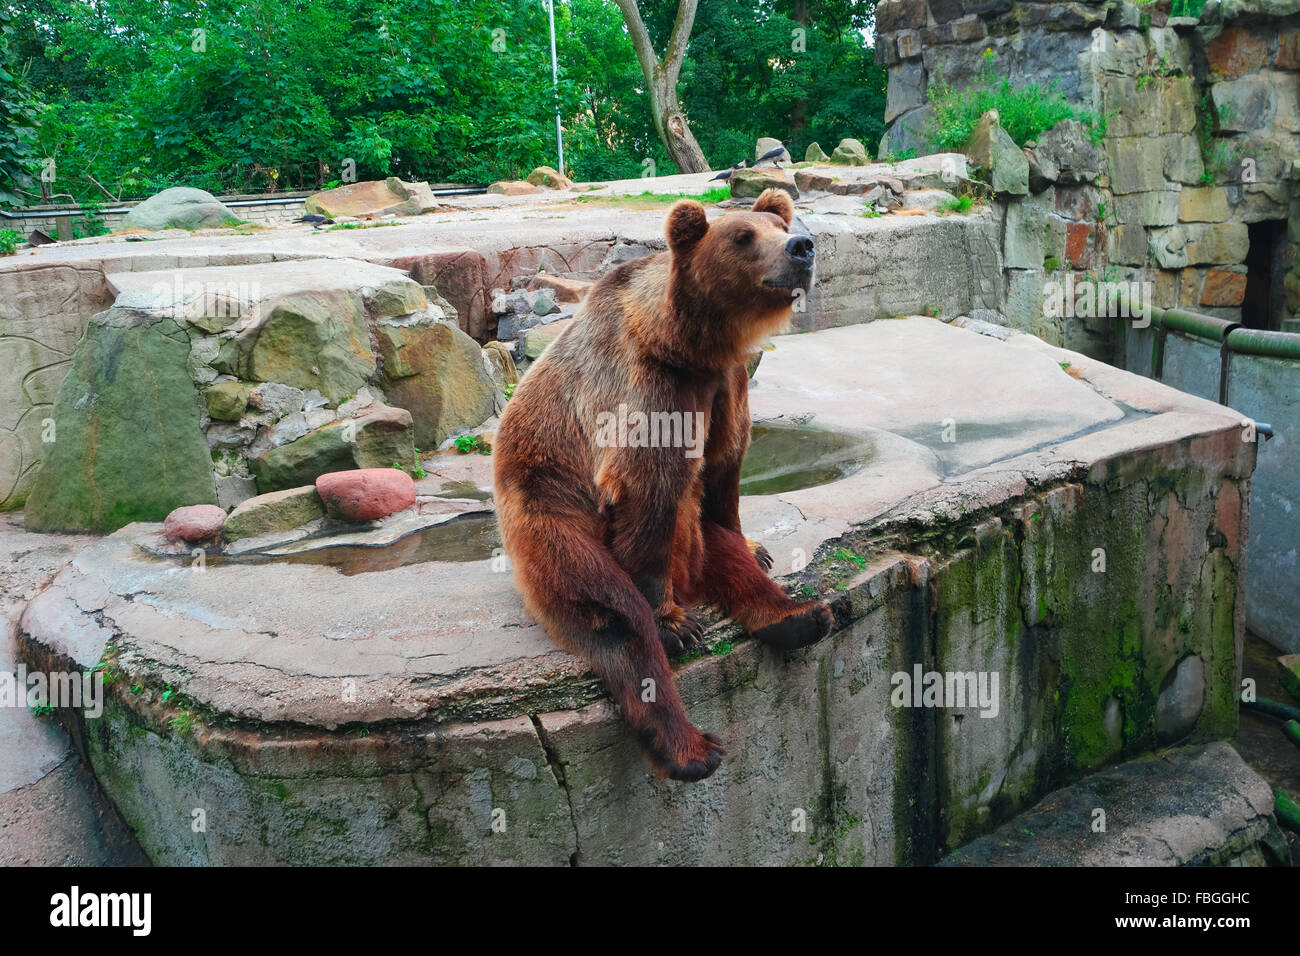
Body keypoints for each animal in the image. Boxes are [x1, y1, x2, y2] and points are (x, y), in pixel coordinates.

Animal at [494, 188, 833, 782]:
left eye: (779, 224)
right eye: (742, 237)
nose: (803, 245)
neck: (693, 345)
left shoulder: (725, 388)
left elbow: (724, 472)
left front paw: (756, 544)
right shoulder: (647, 386)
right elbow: (645, 487)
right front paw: (673, 621)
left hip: (690, 536)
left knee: (723, 554)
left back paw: (801, 615)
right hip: (551, 521)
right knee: (613, 617)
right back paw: (693, 747)